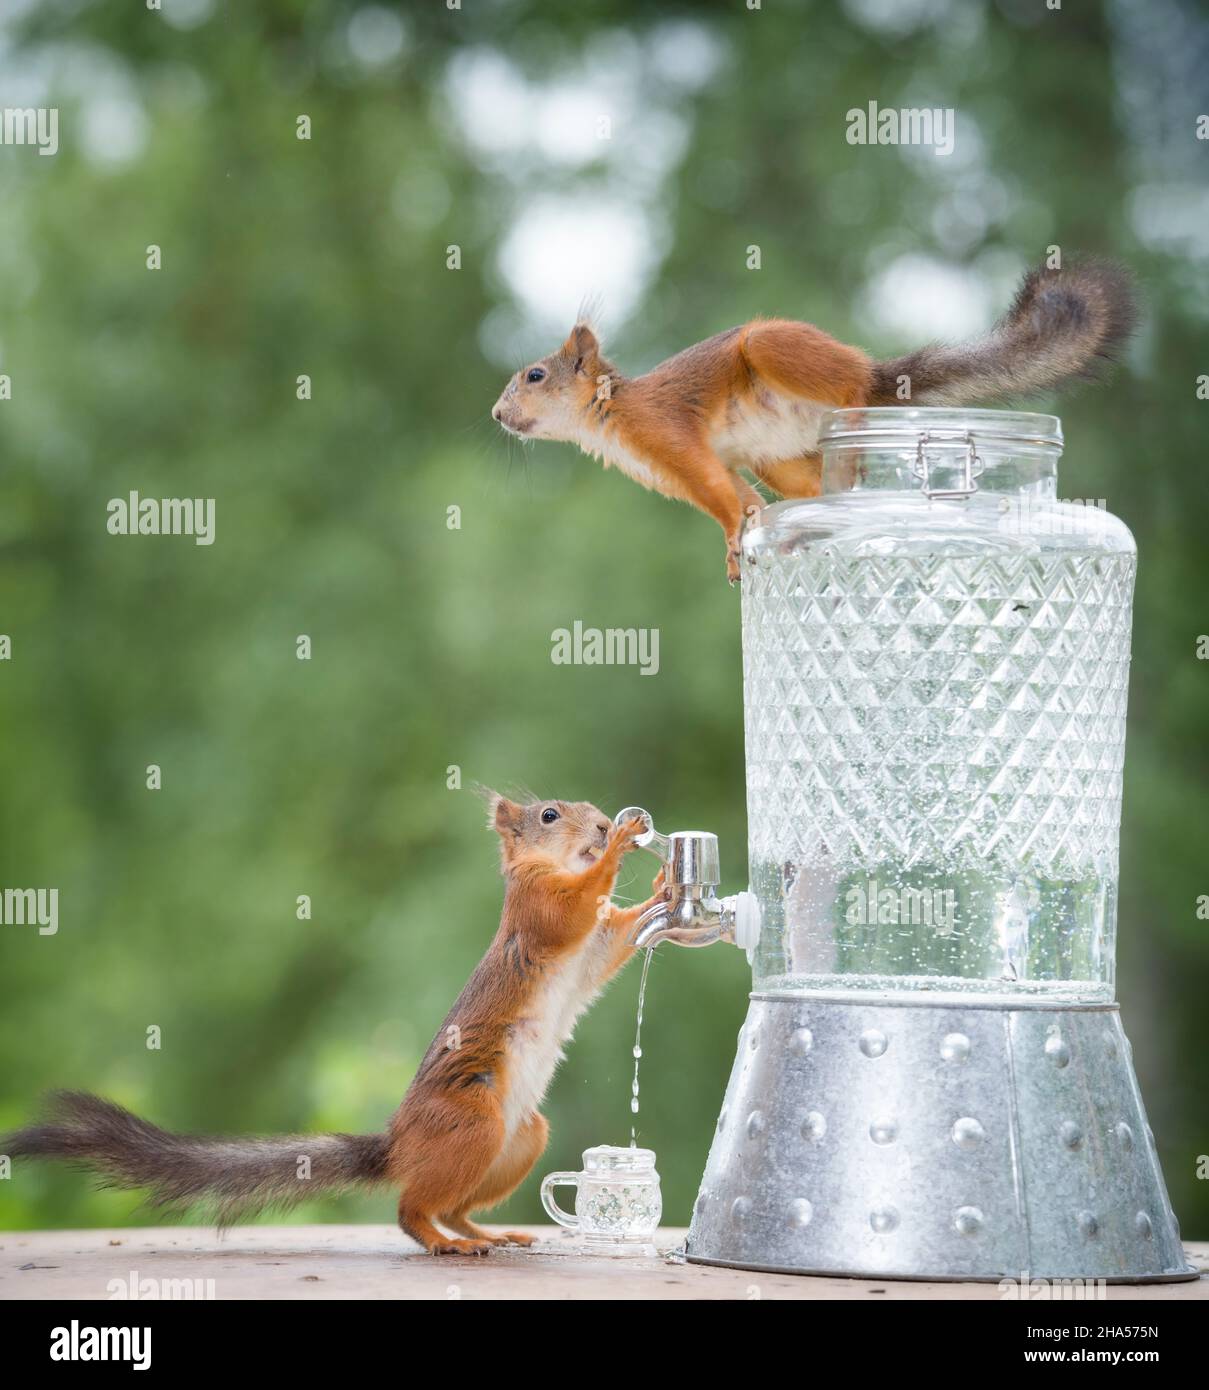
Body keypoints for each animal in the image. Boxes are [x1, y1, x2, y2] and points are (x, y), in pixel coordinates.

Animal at [1, 798, 663, 1256]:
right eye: (551, 813)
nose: (601, 825)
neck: (546, 867)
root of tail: (399, 1144)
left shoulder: (590, 953)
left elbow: (609, 943)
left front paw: (659, 887)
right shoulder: (537, 912)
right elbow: (569, 910)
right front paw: (622, 845)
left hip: (519, 1138)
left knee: (450, 1205)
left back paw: (486, 1235)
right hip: (471, 1123)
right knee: (412, 1209)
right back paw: (445, 1243)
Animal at [491, 260, 1136, 582]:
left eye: (535, 376)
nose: (497, 413)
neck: (609, 413)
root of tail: (877, 380)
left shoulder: (669, 436)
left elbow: (719, 495)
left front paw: (733, 539)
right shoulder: (701, 467)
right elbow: (740, 498)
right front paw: (743, 536)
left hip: (775, 347)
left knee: (847, 391)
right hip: (775, 459)